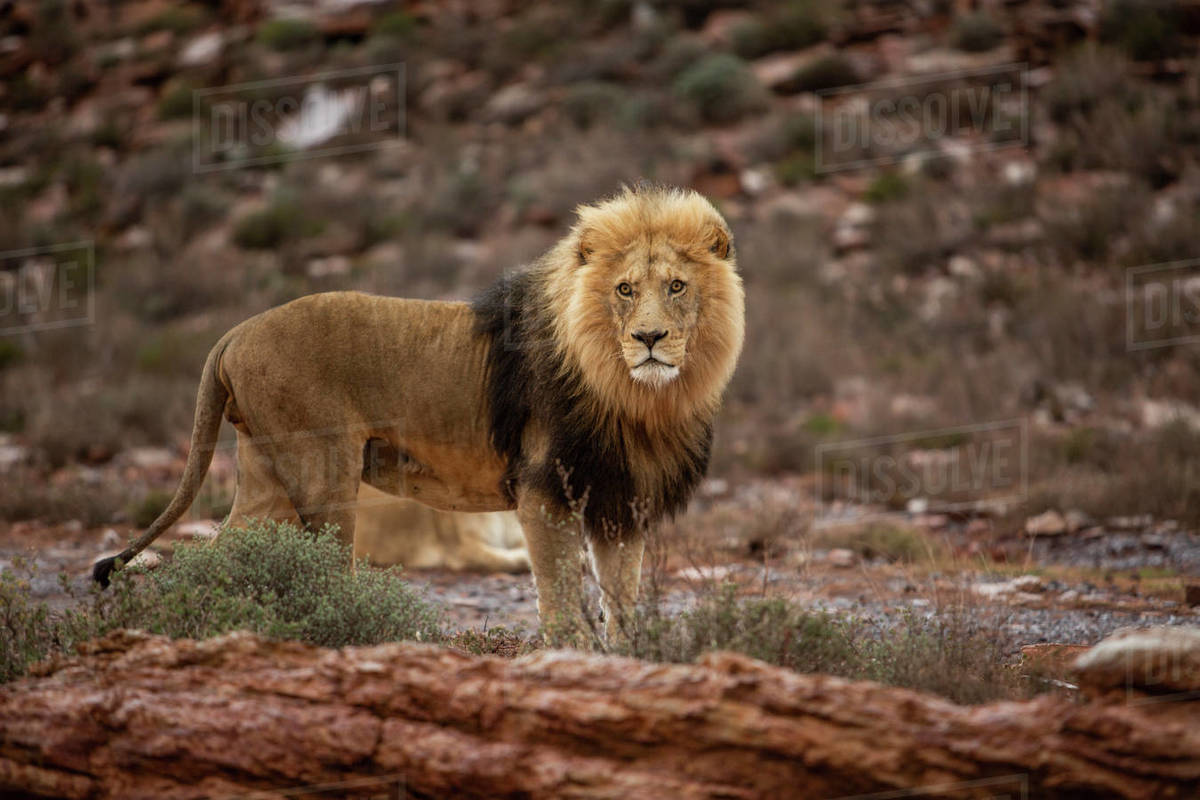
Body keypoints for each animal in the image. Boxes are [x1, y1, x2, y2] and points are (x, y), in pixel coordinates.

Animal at [93, 184, 745, 641]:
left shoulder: (620, 503)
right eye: (625, 289)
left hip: (265, 479)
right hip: (323, 477)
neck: (638, 394)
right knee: (321, 571)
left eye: (677, 286)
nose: (649, 338)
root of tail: (235, 332)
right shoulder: (545, 493)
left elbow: (623, 606)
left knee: (219, 555)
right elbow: (562, 605)